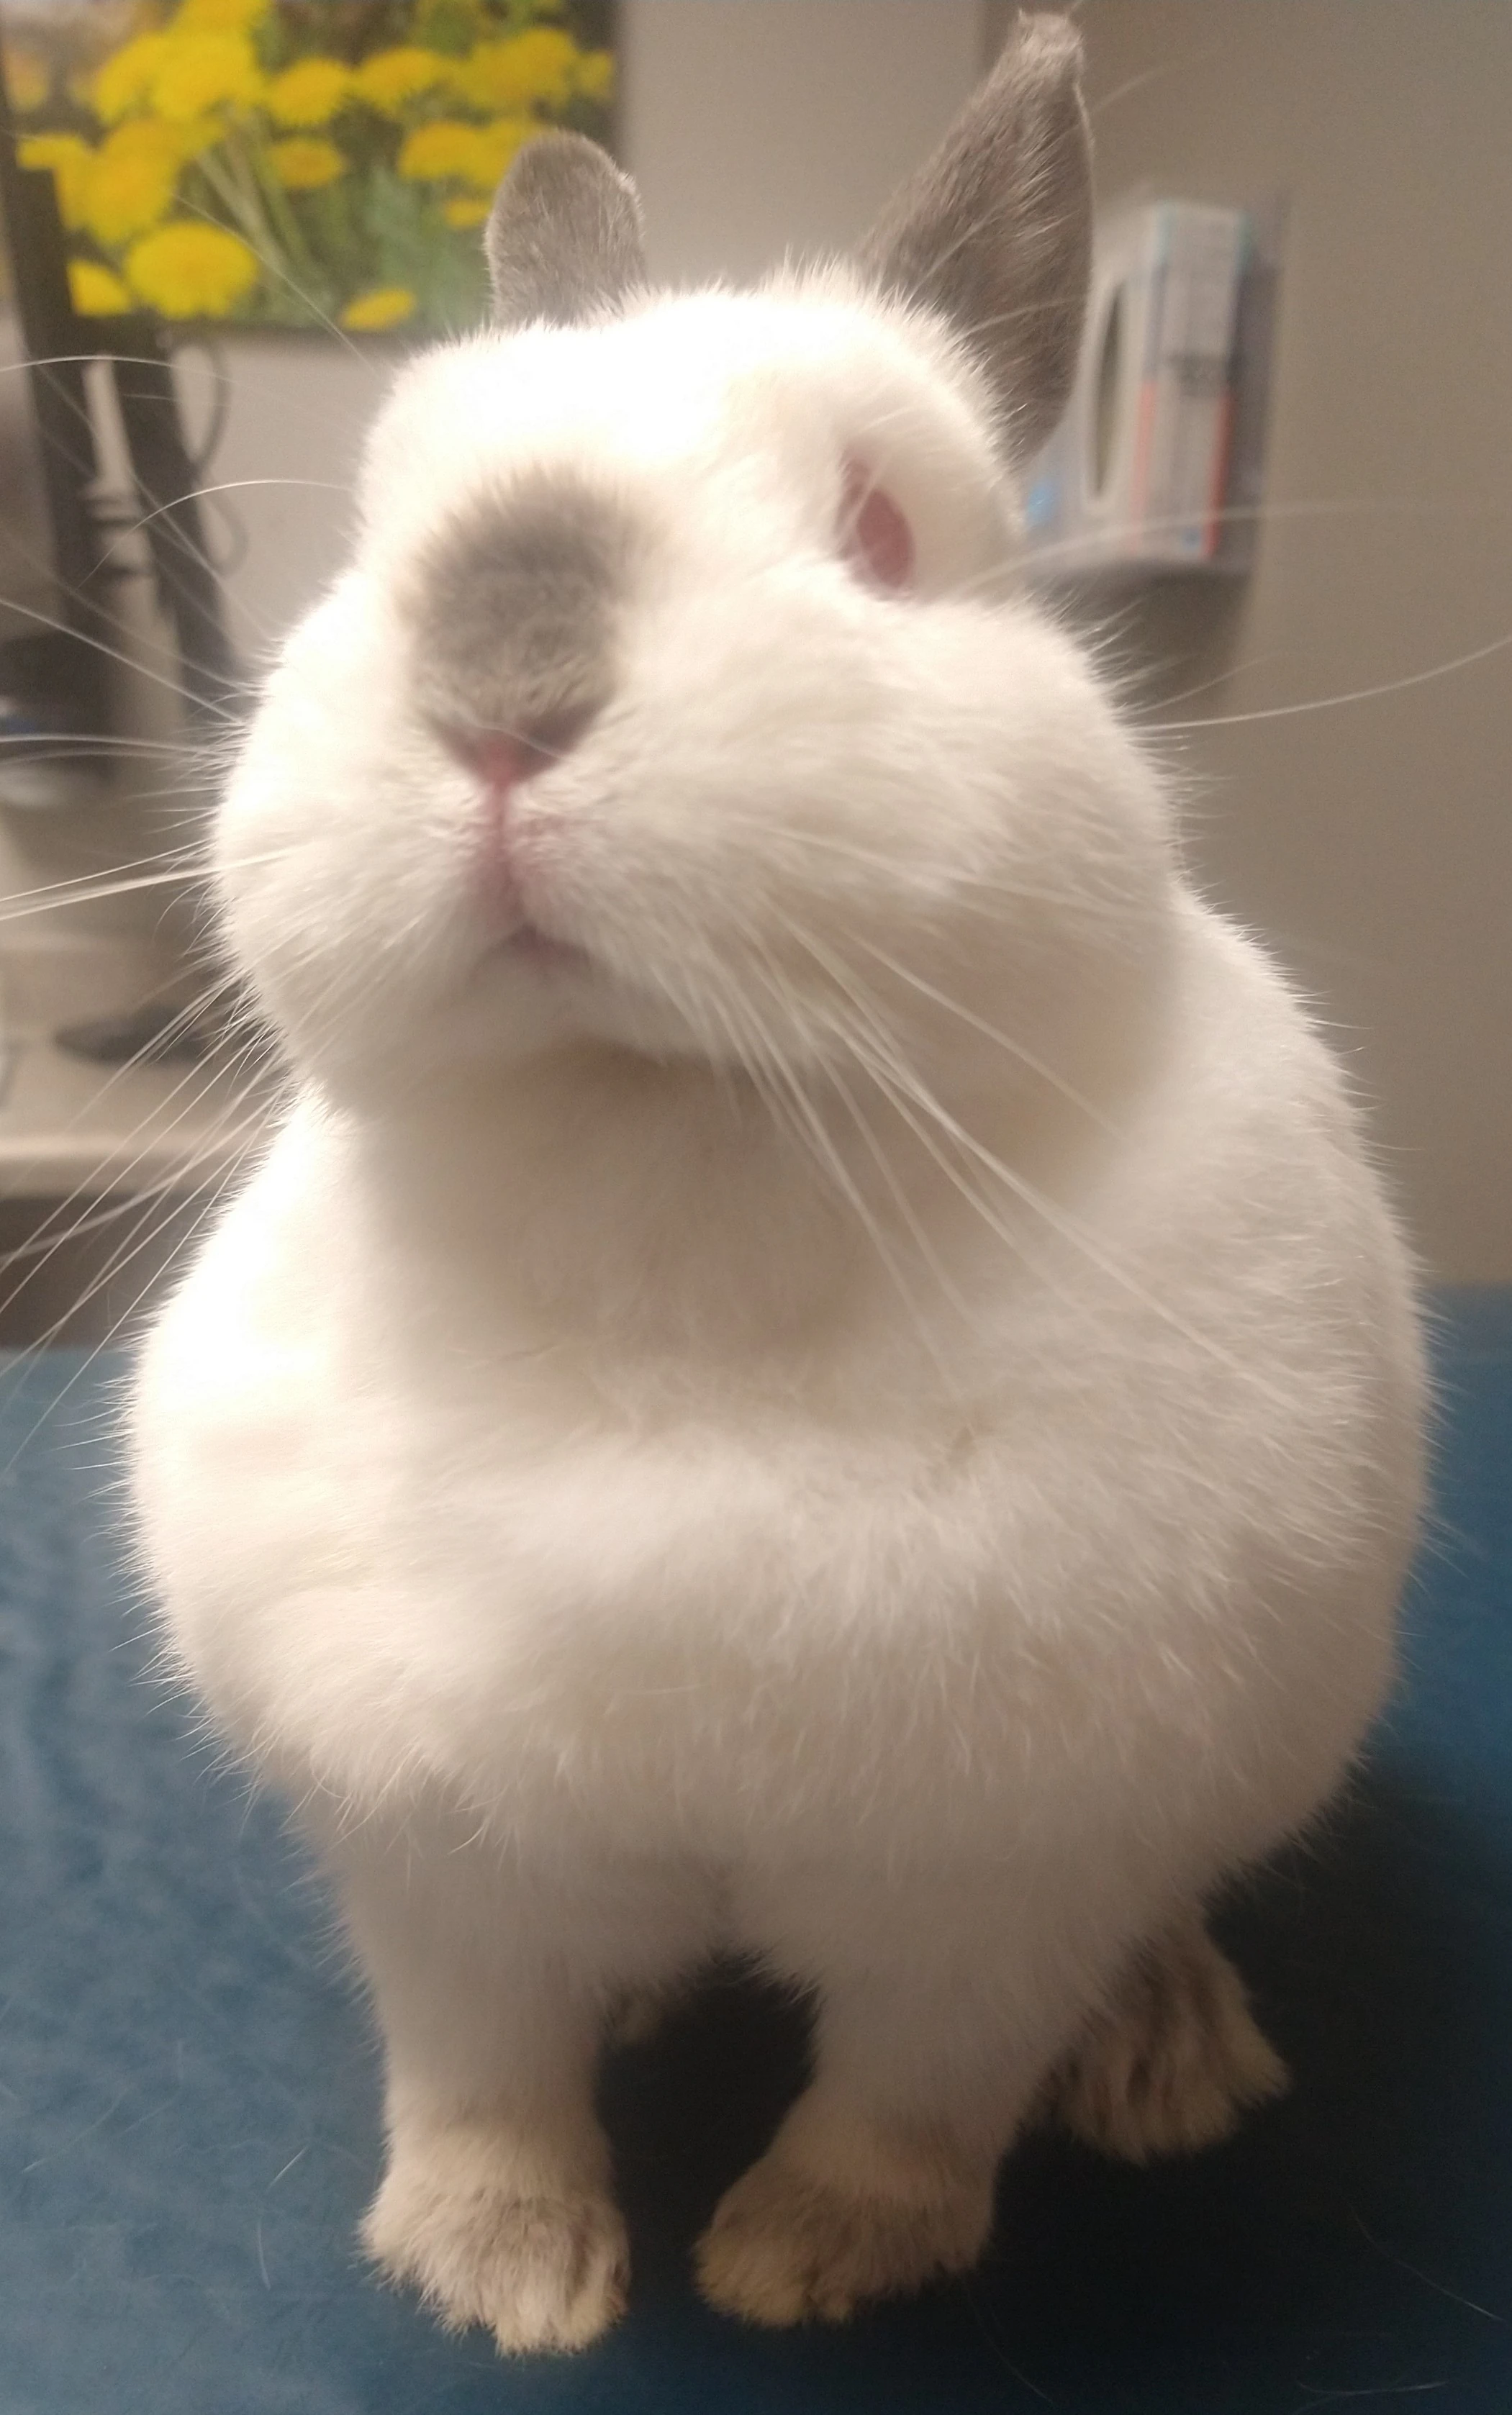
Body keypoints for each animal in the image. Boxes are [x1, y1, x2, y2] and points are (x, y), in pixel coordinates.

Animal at [127, 12, 1427, 2357]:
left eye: (884, 527)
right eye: (381, 534)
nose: (501, 691)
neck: (675, 1164)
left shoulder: (997, 1886)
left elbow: (915, 2092)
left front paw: (808, 2261)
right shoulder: (438, 1858)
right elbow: (481, 2065)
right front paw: (499, 2267)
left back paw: (1165, 2050)